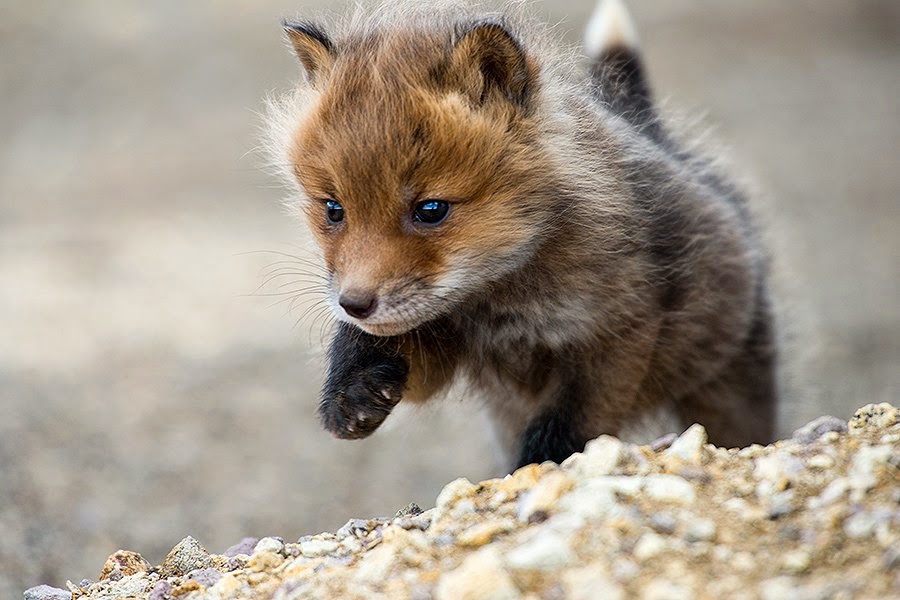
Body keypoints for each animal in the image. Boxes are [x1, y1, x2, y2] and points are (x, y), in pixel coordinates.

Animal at [266, 0, 778, 469]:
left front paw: (540, 467)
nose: (355, 304)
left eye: (430, 210)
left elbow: (567, 426)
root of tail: (648, 129)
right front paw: (354, 387)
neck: (501, 298)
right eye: (334, 210)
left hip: (727, 387)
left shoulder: (620, 333)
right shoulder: (443, 340)